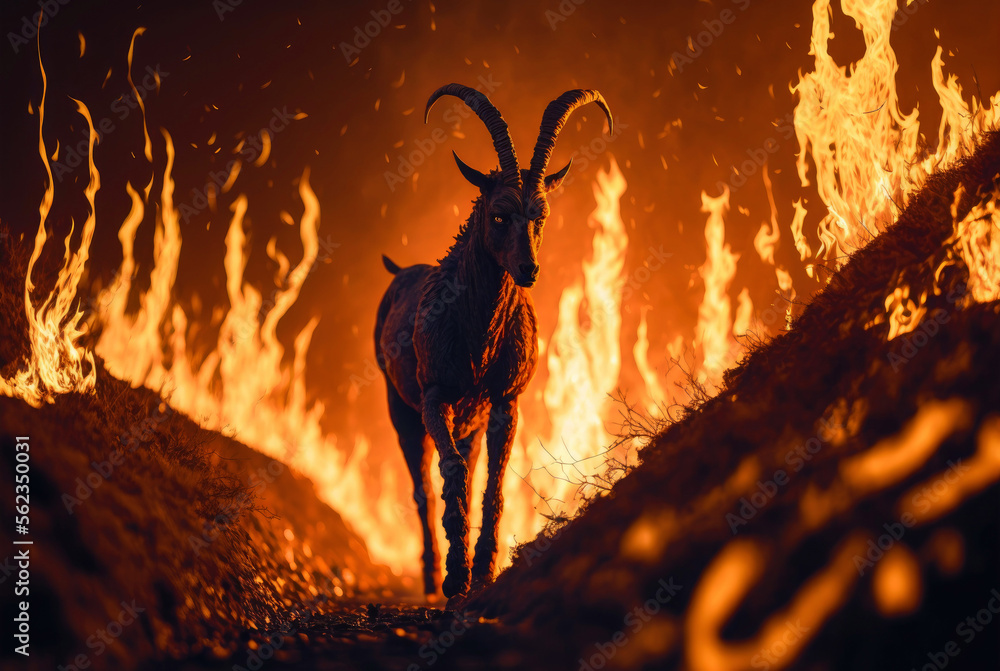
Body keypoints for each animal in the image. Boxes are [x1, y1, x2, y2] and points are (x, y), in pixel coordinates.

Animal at [375, 84, 613, 599]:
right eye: (500, 214)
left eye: (541, 213)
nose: (528, 269)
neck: (477, 337)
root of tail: (401, 271)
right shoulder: (435, 396)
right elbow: (451, 473)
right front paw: (455, 575)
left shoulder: (505, 400)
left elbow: (494, 480)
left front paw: (482, 570)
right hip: (399, 405)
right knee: (420, 484)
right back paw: (430, 574)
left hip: (472, 420)